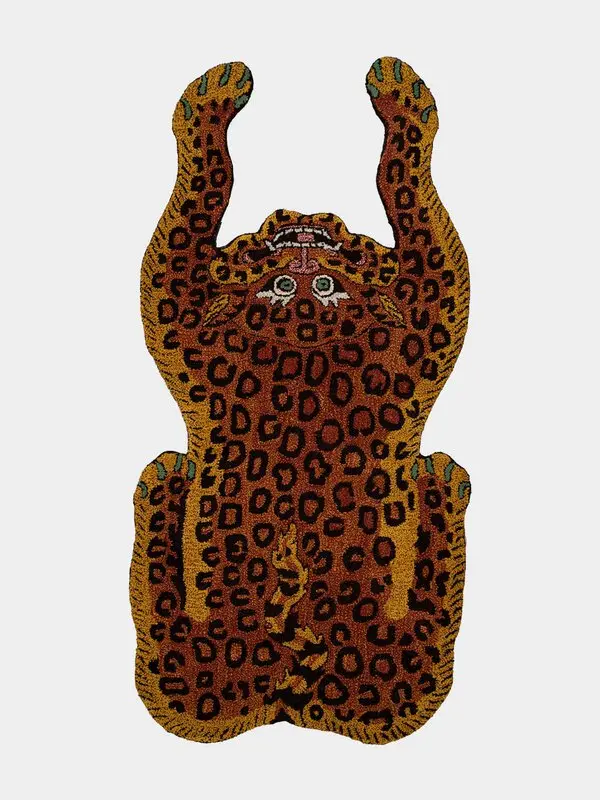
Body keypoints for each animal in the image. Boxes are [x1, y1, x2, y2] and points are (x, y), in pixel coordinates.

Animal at [131, 57, 471, 745]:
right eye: (283, 281)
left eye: (325, 283)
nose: (305, 241)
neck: (305, 343)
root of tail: (291, 680)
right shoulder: (187, 318)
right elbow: (197, 204)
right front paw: (220, 88)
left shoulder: (425, 319)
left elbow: (409, 197)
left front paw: (397, 87)